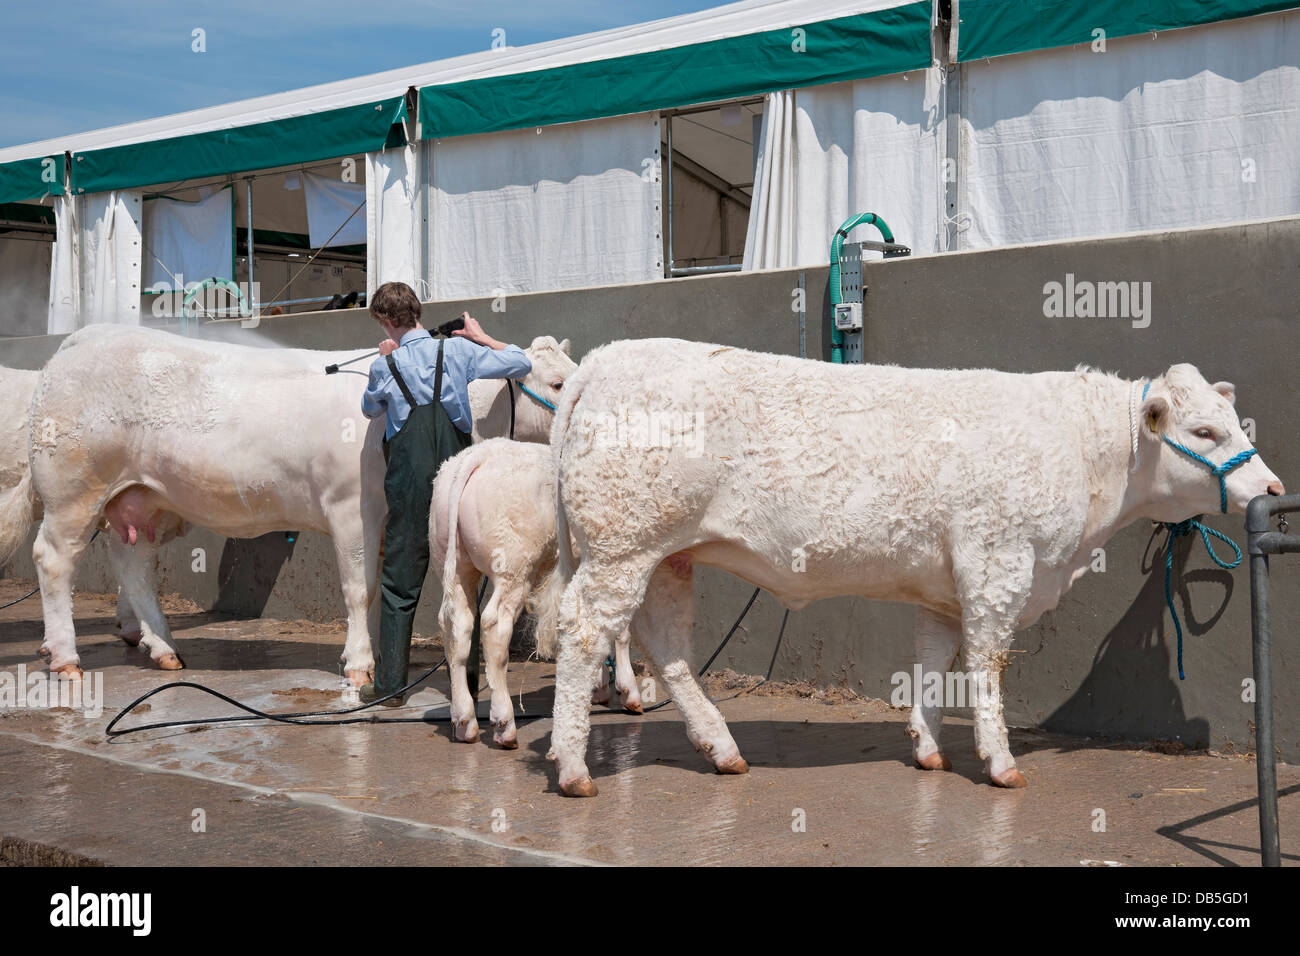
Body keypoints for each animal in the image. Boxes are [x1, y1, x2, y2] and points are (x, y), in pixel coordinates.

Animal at [19, 325, 574, 683]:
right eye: (557, 383)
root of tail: (80, 340)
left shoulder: (386, 518)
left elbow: (378, 589)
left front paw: (373, 653)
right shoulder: (351, 508)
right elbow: (359, 589)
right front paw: (359, 665)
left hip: (144, 498)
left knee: (133, 566)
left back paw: (164, 650)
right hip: (73, 493)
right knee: (53, 560)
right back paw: (66, 657)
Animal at [431, 438, 640, 748]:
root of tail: (477, 455)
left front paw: (597, 685)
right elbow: (620, 630)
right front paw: (628, 692)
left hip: (454, 561)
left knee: (457, 626)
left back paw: (465, 721)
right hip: (513, 566)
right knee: (494, 626)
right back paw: (504, 724)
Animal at [537, 339, 1284, 796]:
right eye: (1205, 432)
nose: (1273, 489)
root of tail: (603, 360)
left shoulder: (945, 586)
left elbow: (932, 658)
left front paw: (929, 749)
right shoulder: (997, 564)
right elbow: (986, 662)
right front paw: (1000, 761)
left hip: (666, 554)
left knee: (666, 645)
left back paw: (721, 748)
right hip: (622, 545)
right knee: (585, 632)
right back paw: (574, 768)